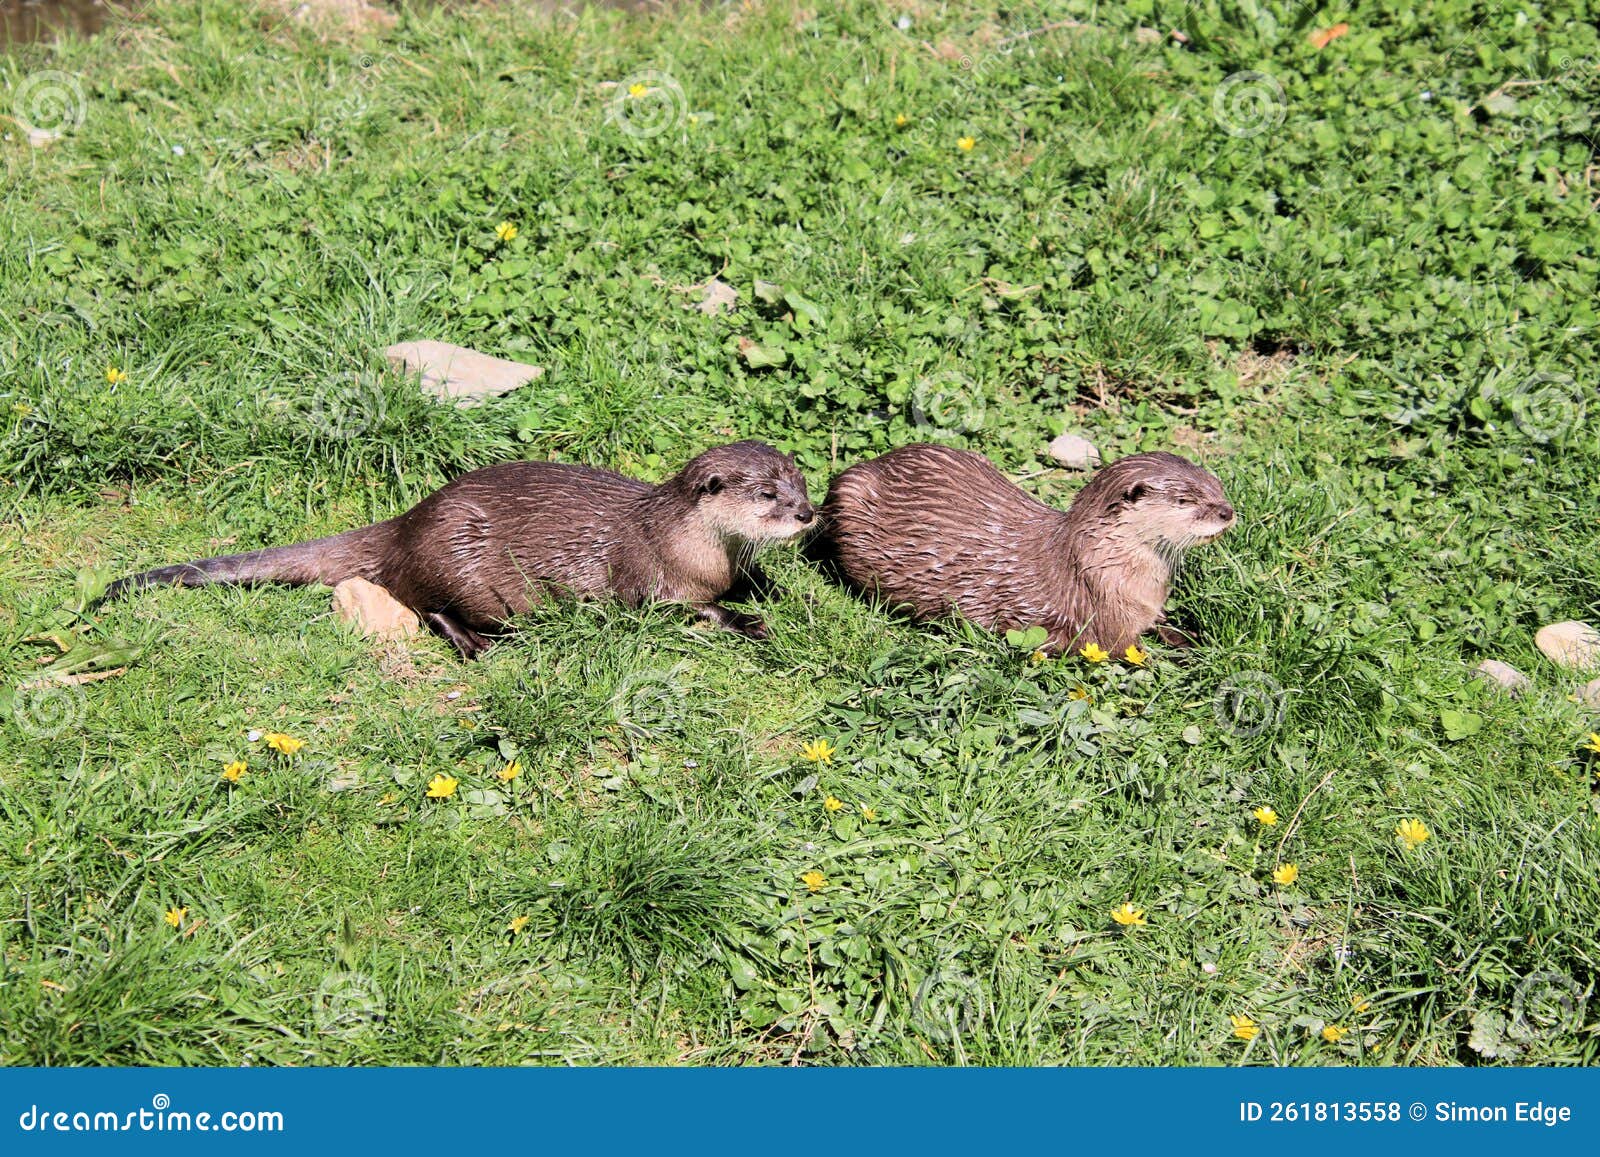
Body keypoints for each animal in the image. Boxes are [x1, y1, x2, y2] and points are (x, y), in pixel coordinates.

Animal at [100, 441, 815, 658]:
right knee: (424, 603)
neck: (685, 545)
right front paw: (744, 620)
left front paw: (767, 588)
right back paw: (476, 641)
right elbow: (679, 609)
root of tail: (405, 522)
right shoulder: (647, 576)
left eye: (802, 482)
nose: (807, 516)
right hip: (457, 558)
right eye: (767, 495)